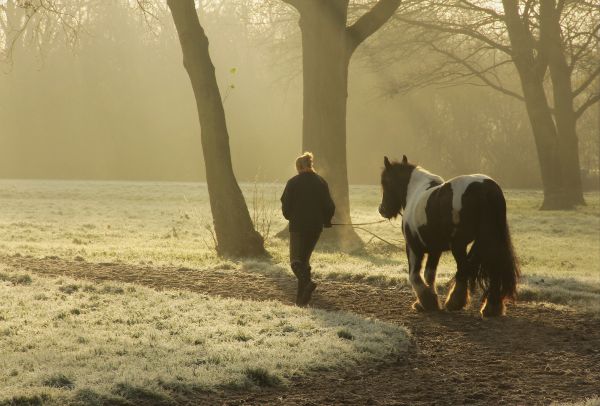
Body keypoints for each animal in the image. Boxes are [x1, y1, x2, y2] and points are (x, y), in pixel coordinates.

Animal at [378, 155, 516, 318]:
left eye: (386, 182)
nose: (382, 209)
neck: (415, 192)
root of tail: (486, 188)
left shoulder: (413, 247)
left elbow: (414, 275)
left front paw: (427, 302)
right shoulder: (434, 250)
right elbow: (429, 274)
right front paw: (427, 301)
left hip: (459, 245)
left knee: (463, 269)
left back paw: (455, 302)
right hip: (489, 241)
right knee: (494, 269)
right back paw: (492, 307)